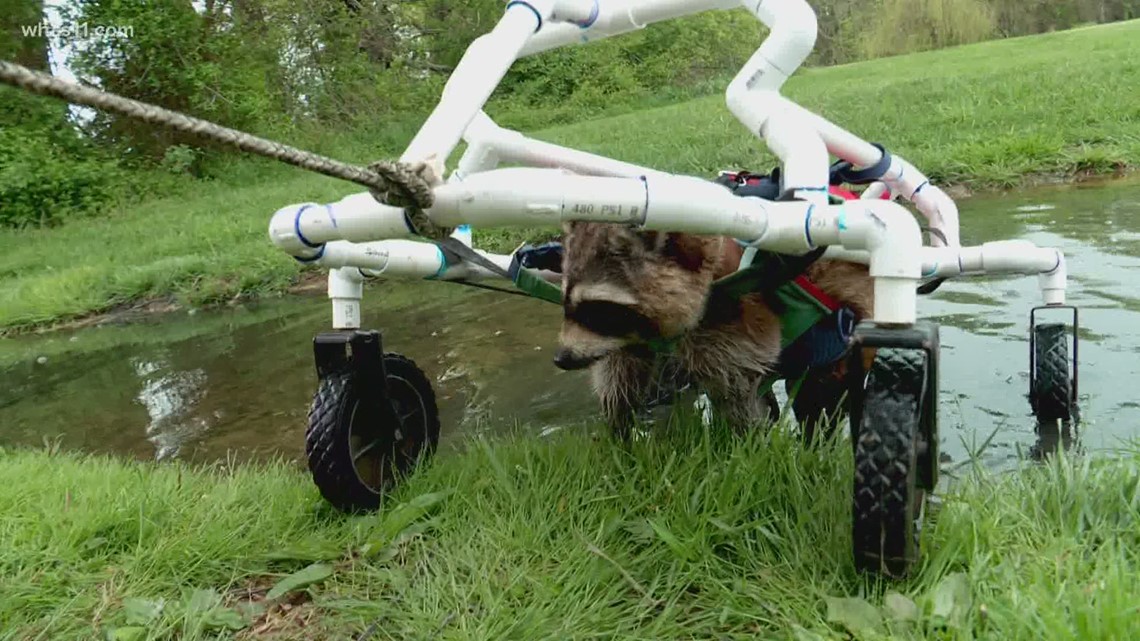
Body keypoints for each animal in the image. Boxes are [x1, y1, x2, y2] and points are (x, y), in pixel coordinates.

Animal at [552, 221, 874, 440]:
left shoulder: (731, 315)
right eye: (566, 303)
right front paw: (619, 426)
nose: (561, 358)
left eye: (598, 310)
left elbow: (735, 388)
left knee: (822, 397)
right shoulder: (631, 337)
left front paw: (746, 440)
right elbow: (620, 374)